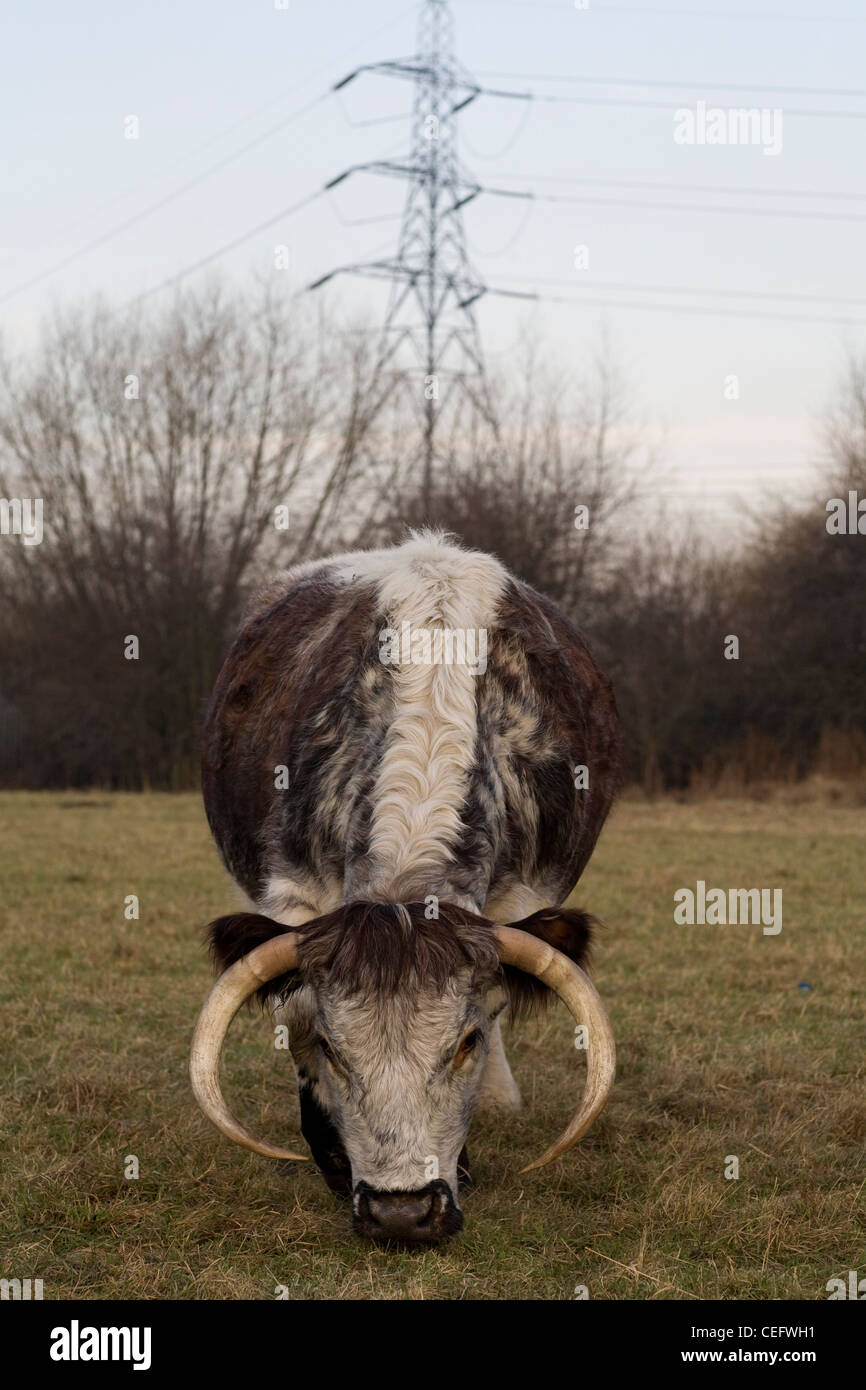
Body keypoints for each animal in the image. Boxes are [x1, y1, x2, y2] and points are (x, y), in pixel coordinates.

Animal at [191, 530, 621, 1243]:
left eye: (464, 1044)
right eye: (335, 1050)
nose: (403, 1212)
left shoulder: (525, 896)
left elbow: (497, 1000)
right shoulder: (293, 896)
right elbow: (297, 1010)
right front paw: (330, 1155)